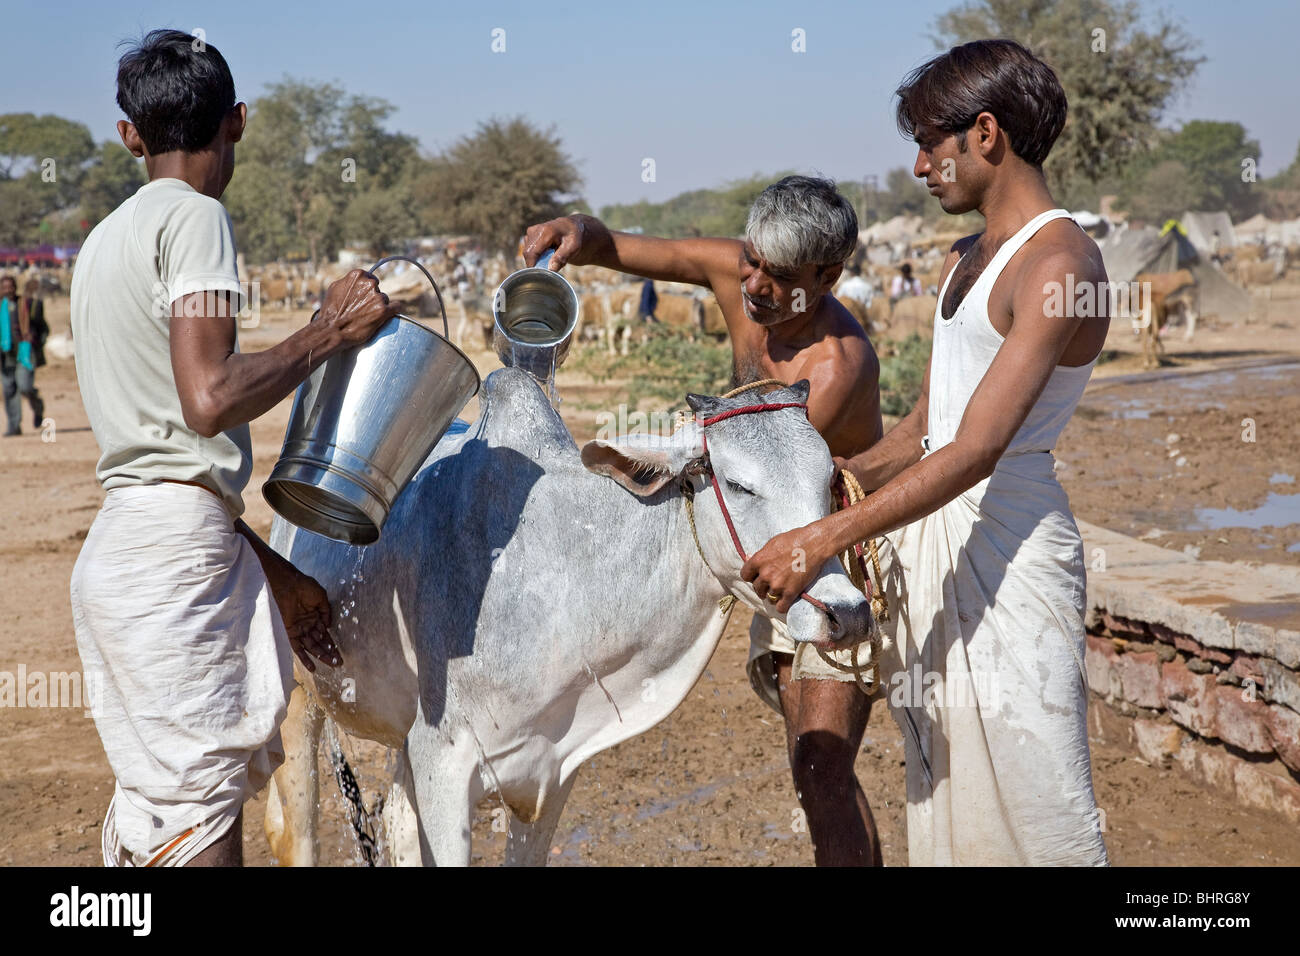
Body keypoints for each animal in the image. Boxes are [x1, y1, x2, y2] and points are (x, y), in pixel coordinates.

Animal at [263, 368, 875, 866]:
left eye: (829, 480)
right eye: (739, 484)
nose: (846, 613)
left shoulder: (550, 775)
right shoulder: (443, 762)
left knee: (394, 822)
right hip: (302, 698)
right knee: (294, 832)